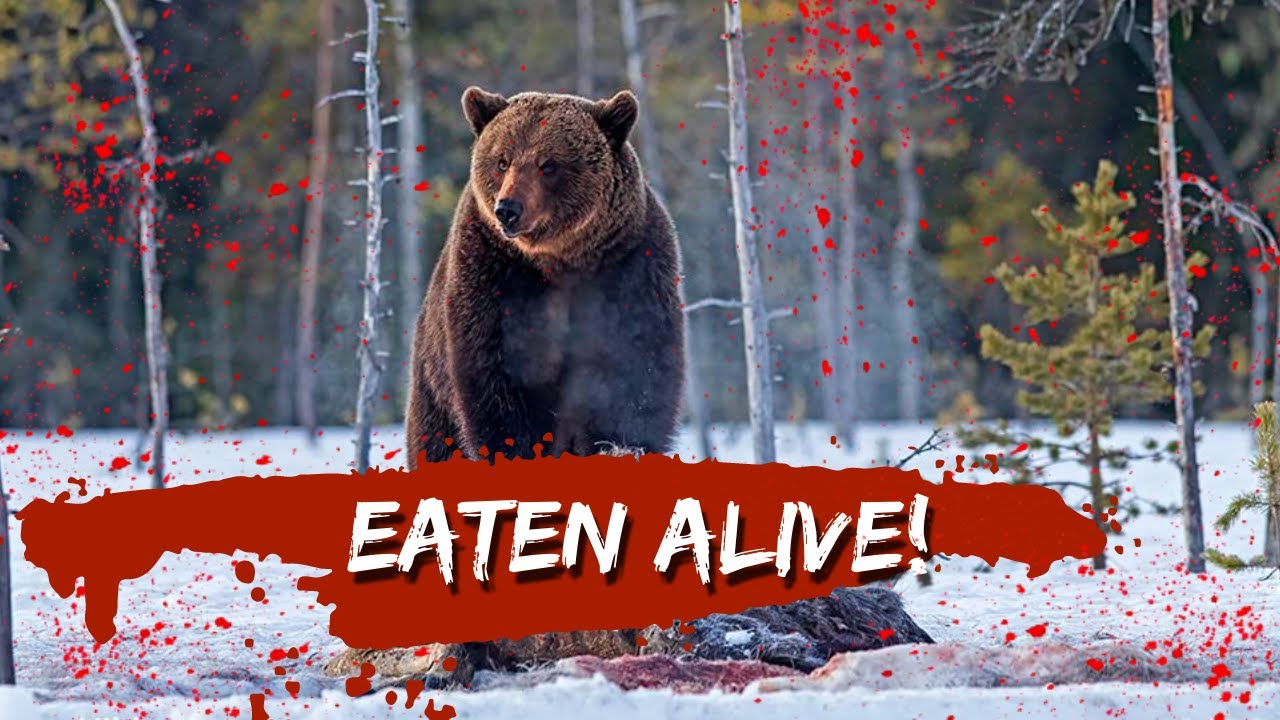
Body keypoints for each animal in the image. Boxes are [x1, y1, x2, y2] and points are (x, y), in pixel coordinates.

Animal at [404, 86, 685, 467]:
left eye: (548, 164)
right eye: (502, 160)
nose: (508, 209)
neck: (561, 261)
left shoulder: (628, 266)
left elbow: (633, 365)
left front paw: (620, 447)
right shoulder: (495, 274)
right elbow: (500, 378)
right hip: (432, 388)